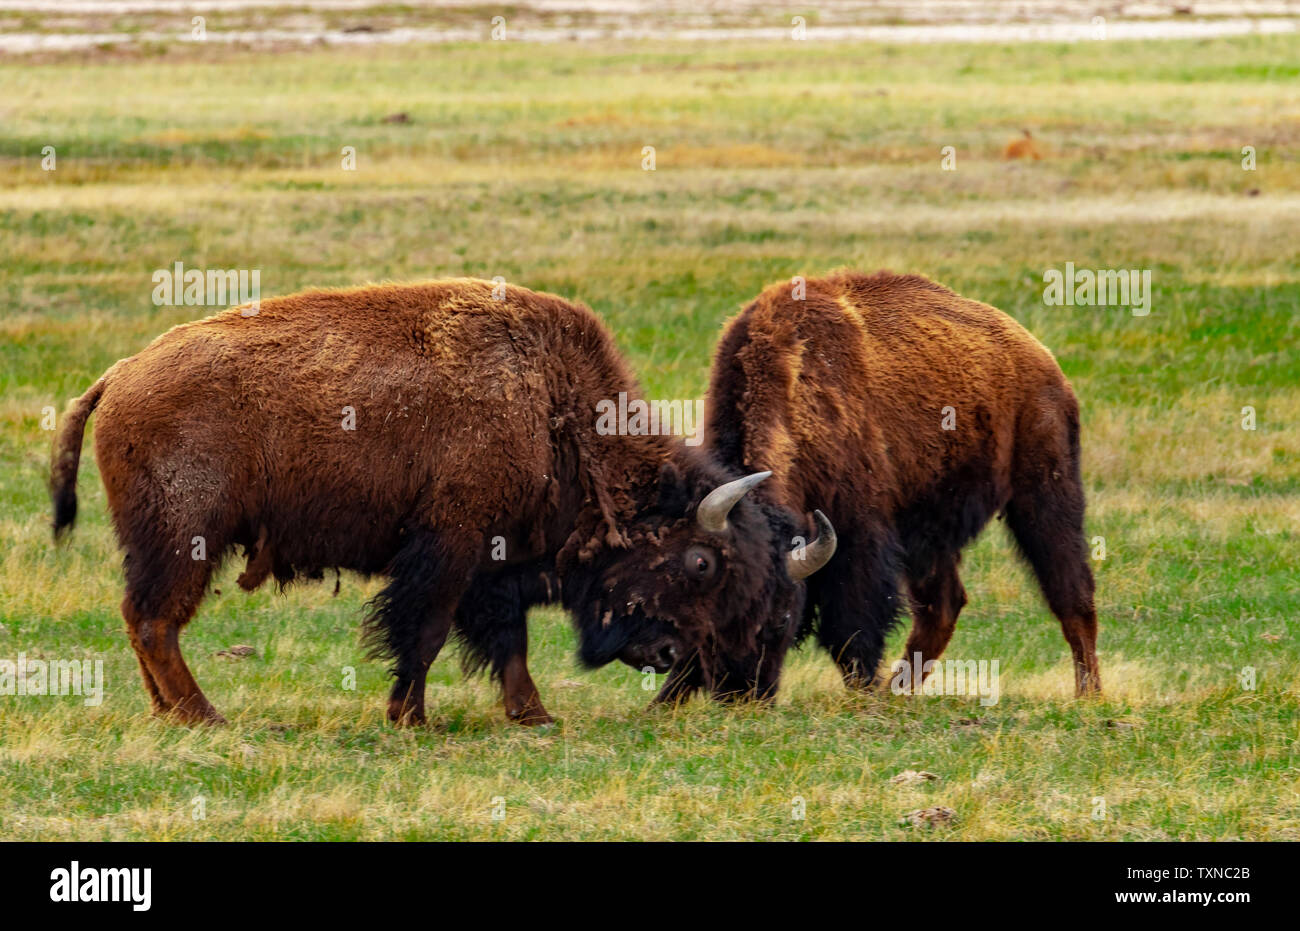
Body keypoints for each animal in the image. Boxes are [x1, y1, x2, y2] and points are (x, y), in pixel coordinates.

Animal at [50, 279, 835, 725]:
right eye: (701, 562)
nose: (668, 651)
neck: (553, 411)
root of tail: (120, 375)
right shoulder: (449, 547)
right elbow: (424, 632)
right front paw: (409, 717)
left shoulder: (497, 565)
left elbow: (507, 640)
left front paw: (533, 715)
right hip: (187, 539)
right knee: (156, 620)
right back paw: (204, 715)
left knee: (142, 619)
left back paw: (172, 714)